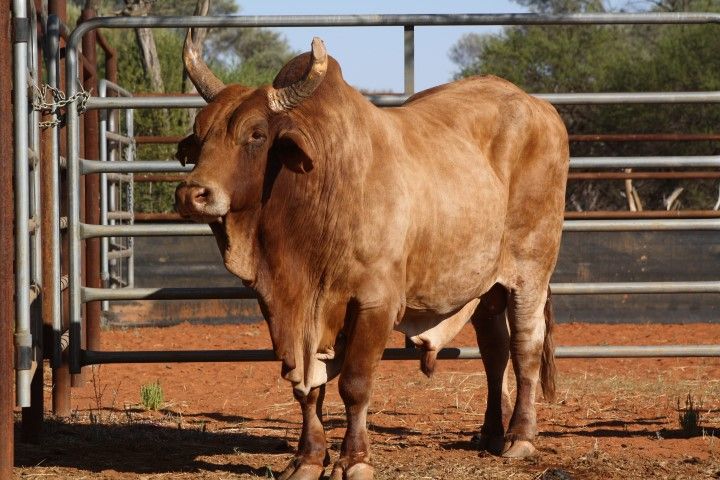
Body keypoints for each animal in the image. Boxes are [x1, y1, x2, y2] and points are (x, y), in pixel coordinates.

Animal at [175, 29, 568, 480]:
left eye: (256, 134)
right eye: (200, 135)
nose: (192, 193)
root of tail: (539, 106)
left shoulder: (374, 304)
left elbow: (355, 384)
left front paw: (355, 460)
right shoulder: (290, 313)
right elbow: (308, 389)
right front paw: (309, 458)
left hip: (531, 273)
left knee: (525, 347)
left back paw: (520, 437)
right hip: (485, 286)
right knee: (495, 350)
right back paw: (489, 434)